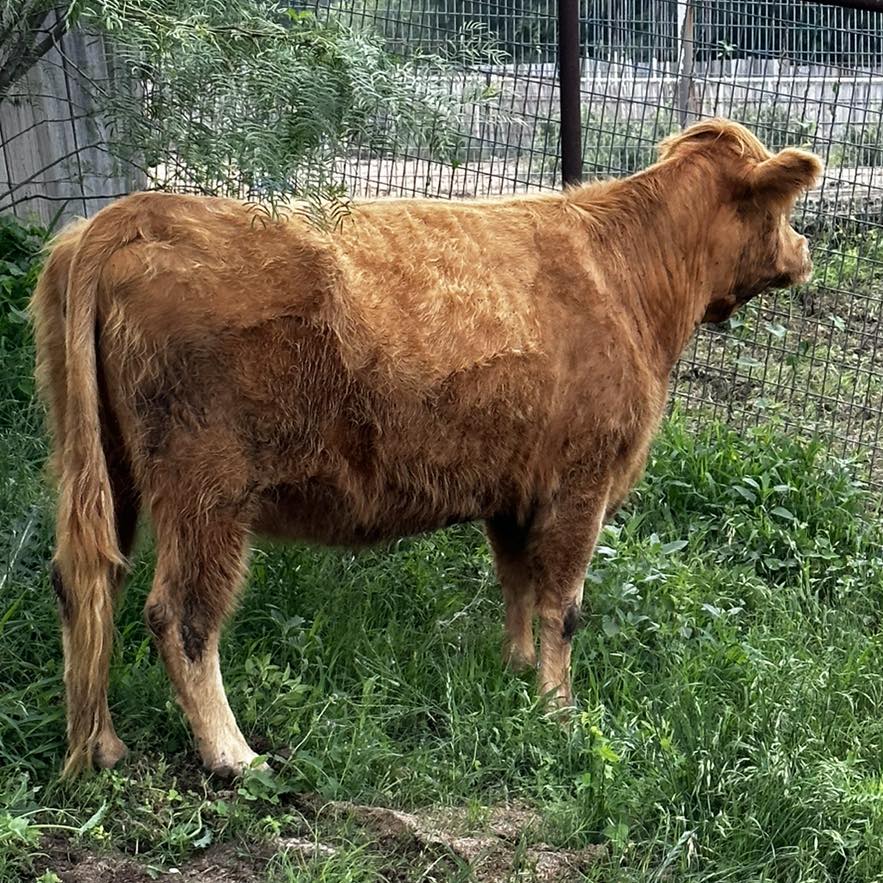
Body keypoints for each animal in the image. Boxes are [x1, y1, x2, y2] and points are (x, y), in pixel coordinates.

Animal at [31, 118, 822, 778]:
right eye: (783, 209)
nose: (805, 251)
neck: (629, 274)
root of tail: (135, 214)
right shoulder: (581, 481)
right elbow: (562, 603)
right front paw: (559, 712)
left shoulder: (514, 486)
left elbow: (517, 582)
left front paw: (514, 673)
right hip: (206, 486)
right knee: (181, 613)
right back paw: (232, 755)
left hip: (102, 466)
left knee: (85, 584)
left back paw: (101, 744)